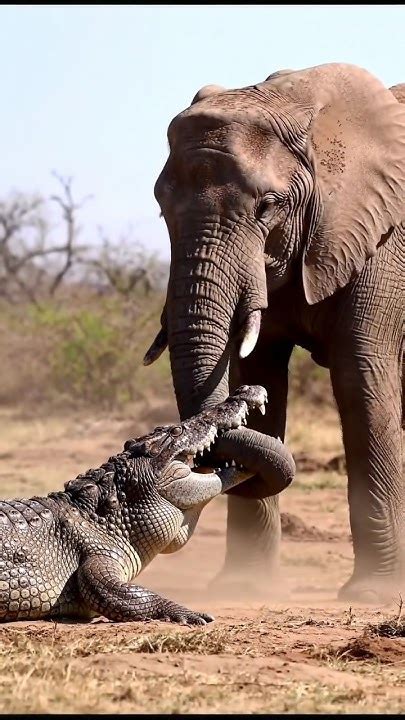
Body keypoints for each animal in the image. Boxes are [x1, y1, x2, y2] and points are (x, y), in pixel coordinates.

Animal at [144, 63, 405, 604]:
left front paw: (371, 595)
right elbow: (259, 371)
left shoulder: (384, 241)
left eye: (267, 206)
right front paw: (243, 587)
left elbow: (360, 376)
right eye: (160, 207)